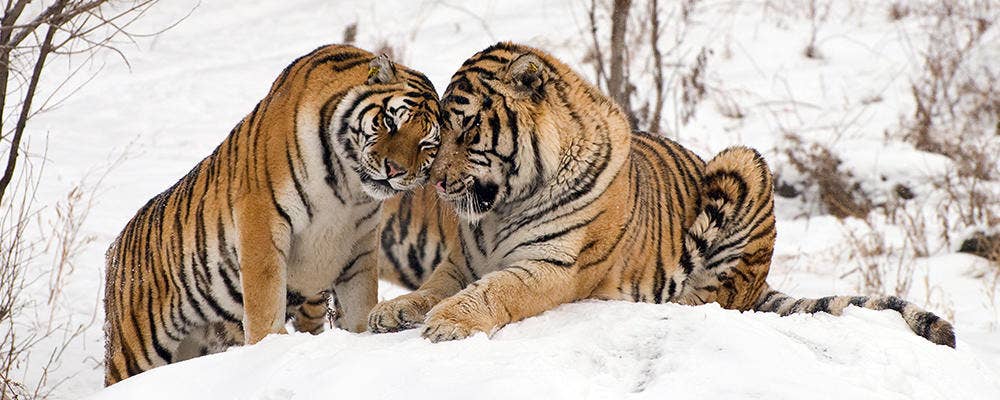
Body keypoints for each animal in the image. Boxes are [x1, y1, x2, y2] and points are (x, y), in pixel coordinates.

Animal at [103, 44, 441, 386]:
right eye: (390, 121)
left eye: (426, 144)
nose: (394, 170)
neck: (349, 186)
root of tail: (116, 247)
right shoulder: (262, 217)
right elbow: (265, 294)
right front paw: (270, 342)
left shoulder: (358, 245)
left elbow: (359, 300)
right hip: (134, 350)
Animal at [367, 42, 955, 348]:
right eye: (437, 133)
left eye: (467, 130)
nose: (435, 183)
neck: (499, 209)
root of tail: (763, 280)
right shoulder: (461, 261)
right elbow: (431, 288)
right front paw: (392, 311)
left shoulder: (552, 266)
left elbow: (492, 292)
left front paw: (449, 322)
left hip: (742, 166)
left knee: (716, 298)